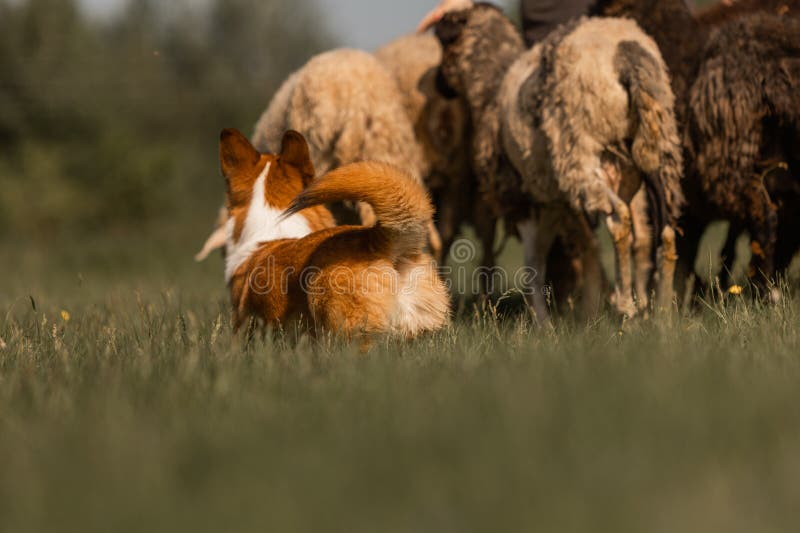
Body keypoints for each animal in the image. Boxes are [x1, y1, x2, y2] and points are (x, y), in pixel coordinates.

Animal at [426, 2, 683, 319]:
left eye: (444, 43)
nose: (437, 83)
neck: (490, 86)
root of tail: (625, 53)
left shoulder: (521, 200)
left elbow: (534, 267)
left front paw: (544, 320)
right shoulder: (560, 201)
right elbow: (601, 247)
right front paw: (592, 310)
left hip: (580, 151)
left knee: (619, 219)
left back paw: (625, 305)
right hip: (658, 152)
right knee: (665, 232)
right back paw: (662, 314)